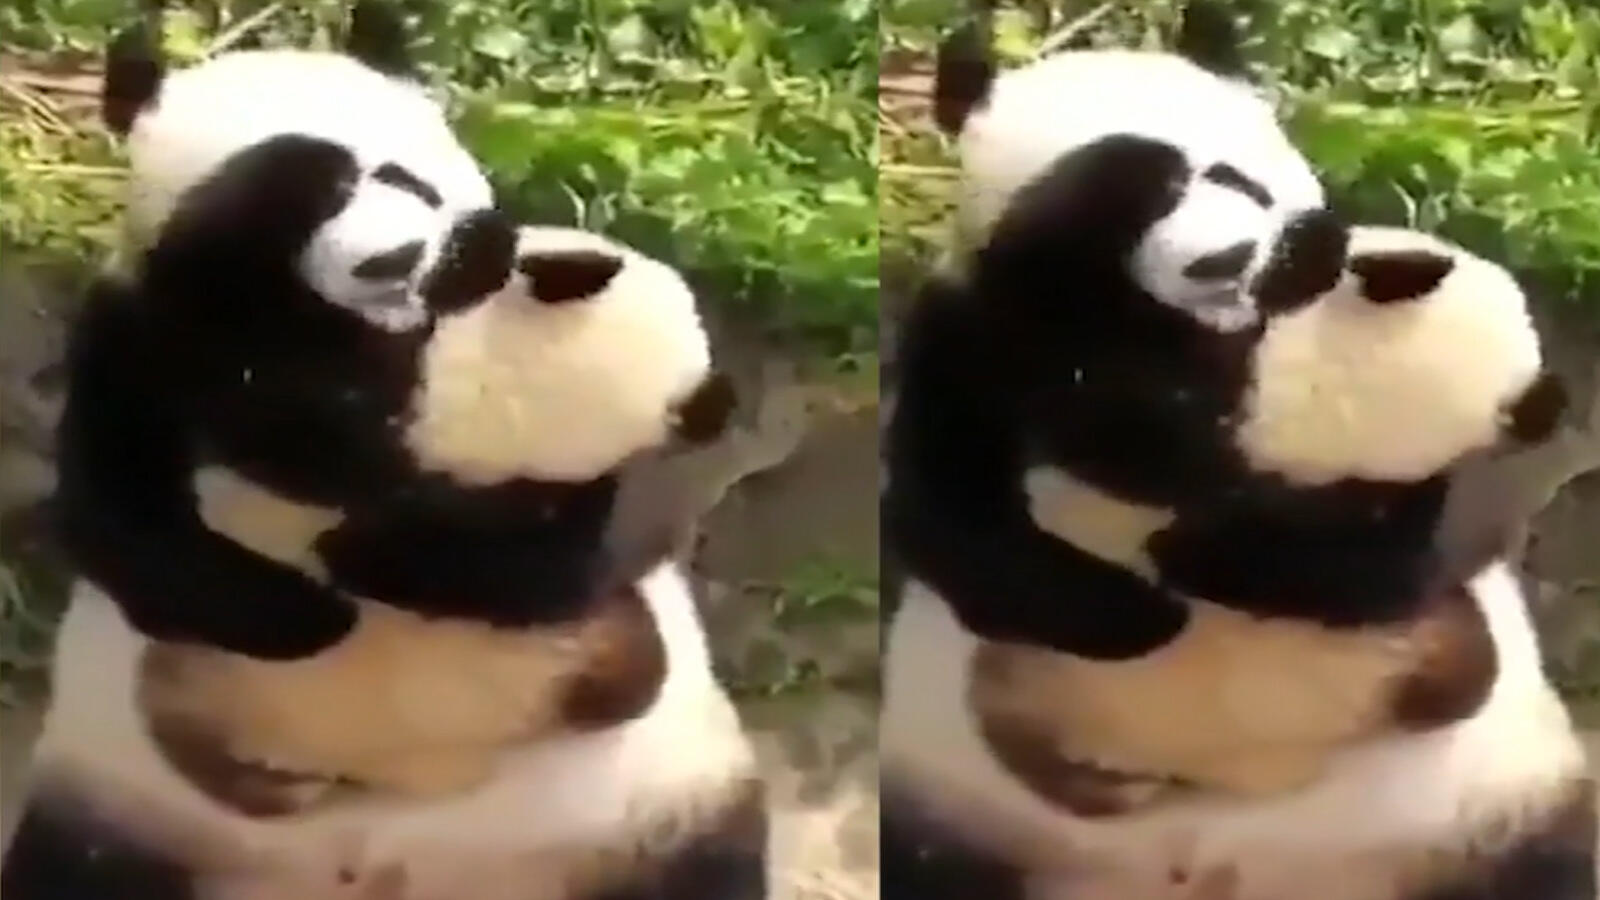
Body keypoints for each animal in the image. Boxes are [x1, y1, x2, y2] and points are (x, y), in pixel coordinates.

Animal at [1, 11, 764, 900]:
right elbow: (118, 510)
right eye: (289, 207)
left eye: (408, 180)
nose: (392, 260)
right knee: (76, 864)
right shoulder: (133, 341)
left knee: (704, 857)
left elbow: (625, 515)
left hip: (650, 798)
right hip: (126, 800)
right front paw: (305, 610)